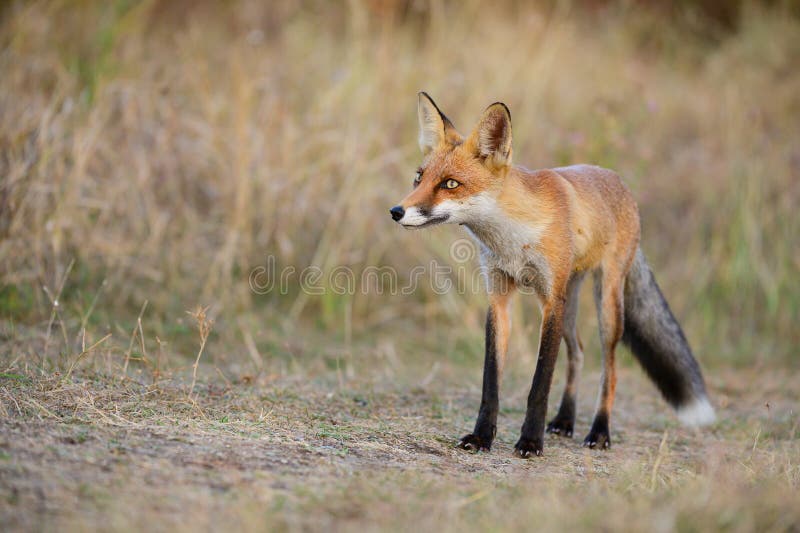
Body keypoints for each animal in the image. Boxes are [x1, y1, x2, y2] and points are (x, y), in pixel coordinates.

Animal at [390, 92, 715, 457]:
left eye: (450, 184)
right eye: (418, 178)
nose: (396, 211)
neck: (513, 238)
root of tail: (619, 182)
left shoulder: (550, 302)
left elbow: (540, 383)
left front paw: (530, 441)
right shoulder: (499, 298)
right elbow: (491, 383)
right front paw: (482, 436)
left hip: (606, 305)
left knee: (609, 370)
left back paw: (599, 431)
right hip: (570, 302)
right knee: (578, 352)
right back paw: (565, 420)